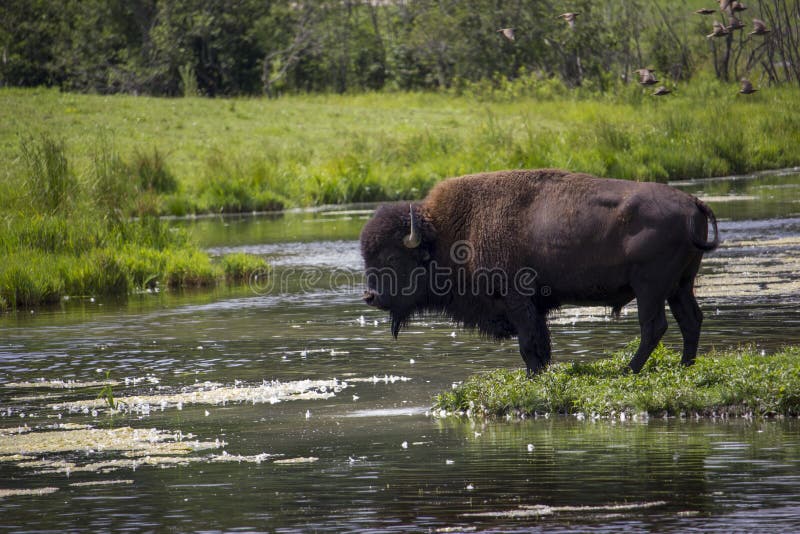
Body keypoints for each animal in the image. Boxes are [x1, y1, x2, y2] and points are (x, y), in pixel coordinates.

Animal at [360, 169, 719, 375]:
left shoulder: (517, 301)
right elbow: (542, 345)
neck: (454, 232)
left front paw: (534, 376)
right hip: (680, 285)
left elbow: (529, 345)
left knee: (653, 327)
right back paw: (685, 367)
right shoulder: (536, 307)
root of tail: (694, 201)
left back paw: (628, 371)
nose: (371, 296)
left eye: (391, 258)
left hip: (650, 288)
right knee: (690, 320)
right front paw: (543, 374)